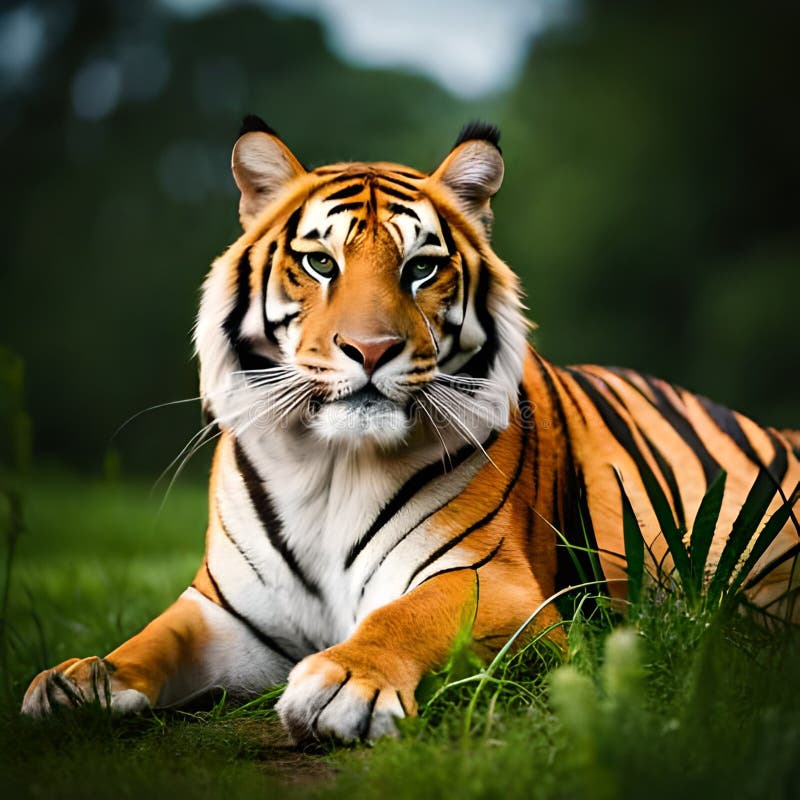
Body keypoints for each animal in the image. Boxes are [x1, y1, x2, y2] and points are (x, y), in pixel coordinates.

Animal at [22, 117, 800, 743]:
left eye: (421, 268)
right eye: (319, 262)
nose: (370, 350)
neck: (330, 466)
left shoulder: (495, 584)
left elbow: (407, 615)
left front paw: (343, 682)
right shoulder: (228, 614)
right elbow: (154, 641)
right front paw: (79, 682)